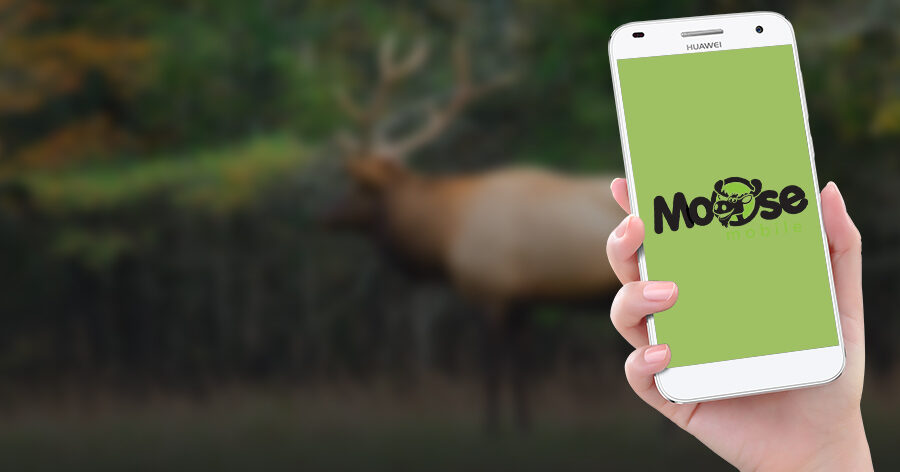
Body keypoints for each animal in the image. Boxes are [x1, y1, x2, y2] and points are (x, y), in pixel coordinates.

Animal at [325, 34, 623, 431]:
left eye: (359, 187)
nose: (322, 215)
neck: (445, 234)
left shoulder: (488, 291)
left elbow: (492, 369)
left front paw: (492, 428)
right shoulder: (519, 300)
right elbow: (519, 368)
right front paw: (523, 425)